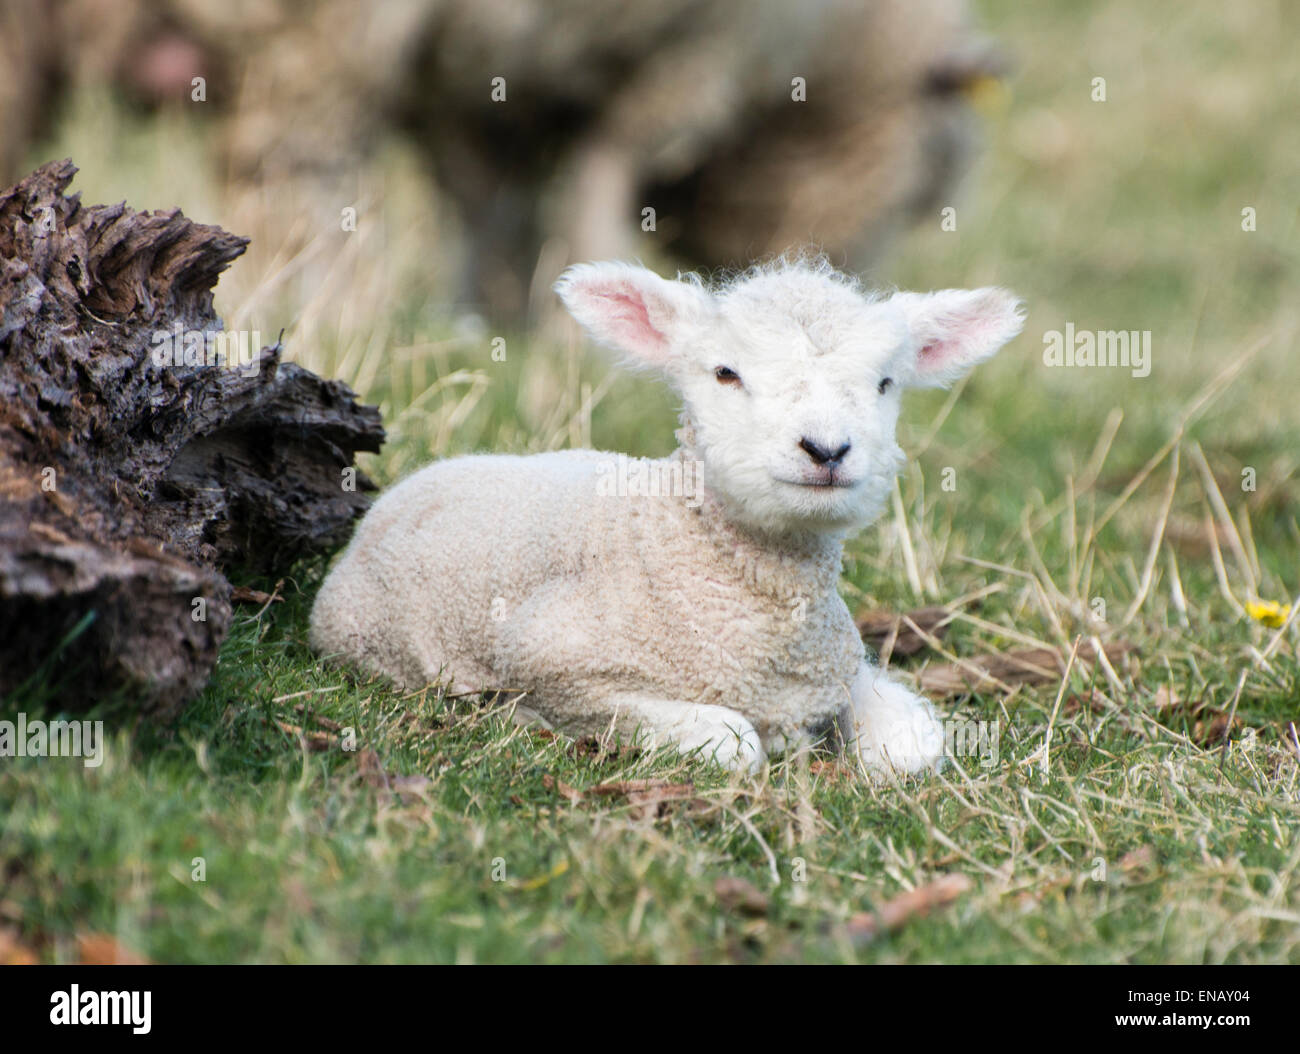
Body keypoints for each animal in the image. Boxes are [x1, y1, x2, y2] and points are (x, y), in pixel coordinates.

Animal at [309, 256, 1024, 775]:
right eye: (726, 373)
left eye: (886, 382)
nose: (827, 450)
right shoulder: (556, 664)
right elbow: (733, 743)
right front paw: (526, 719)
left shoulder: (840, 671)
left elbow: (913, 746)